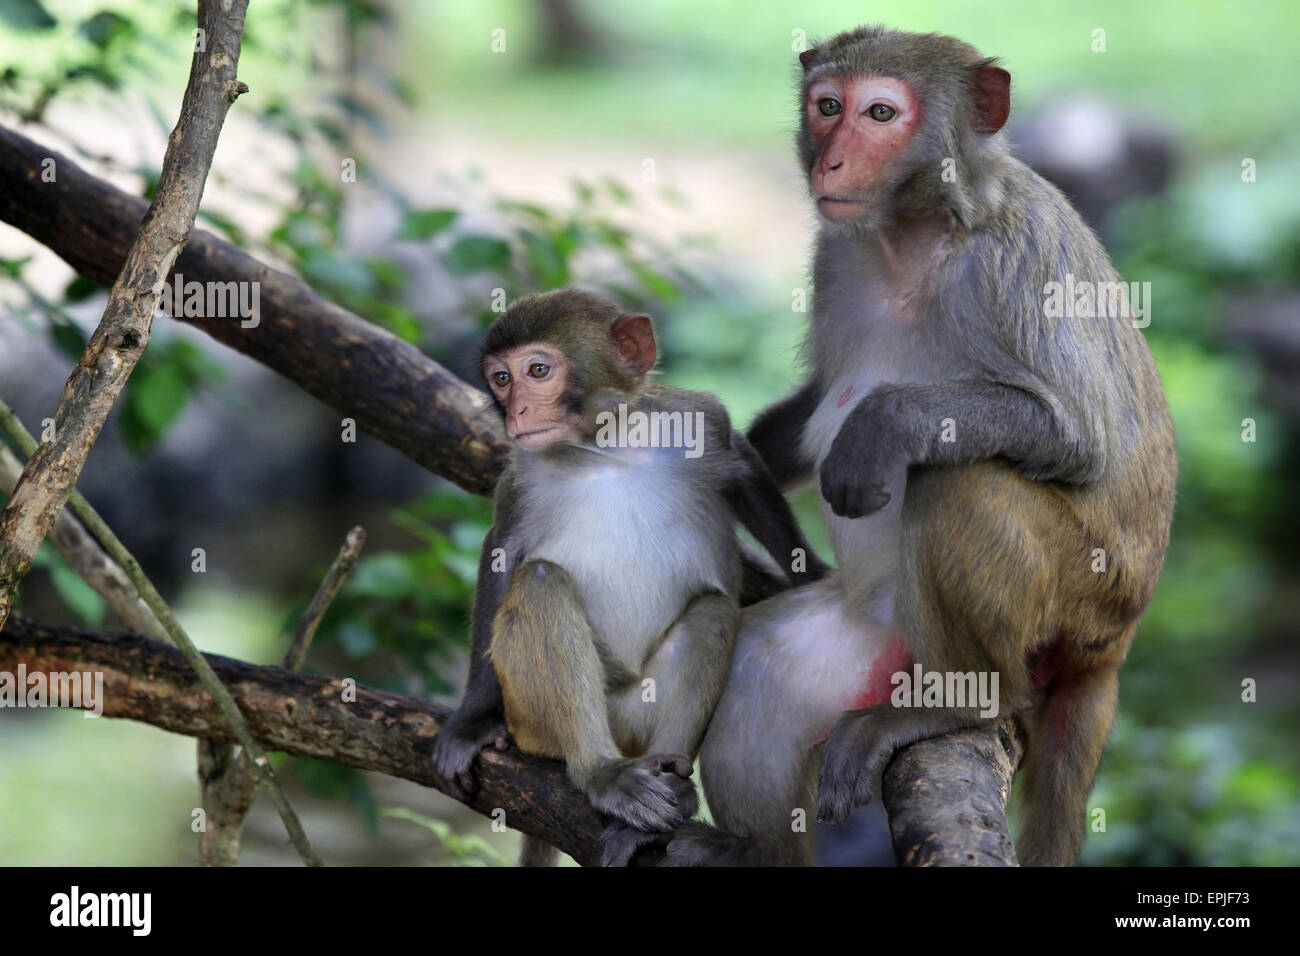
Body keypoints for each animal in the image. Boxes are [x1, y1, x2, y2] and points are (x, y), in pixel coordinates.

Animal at [429, 289, 829, 866]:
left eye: (537, 370)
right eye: (501, 379)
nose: (519, 410)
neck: (607, 448)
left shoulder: (696, 419)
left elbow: (745, 469)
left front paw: (813, 572)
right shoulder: (522, 476)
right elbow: (502, 551)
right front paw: (475, 719)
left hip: (639, 711)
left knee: (712, 610)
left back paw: (672, 784)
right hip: (537, 717)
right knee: (542, 581)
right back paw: (603, 776)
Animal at [665, 26, 1177, 866]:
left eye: (880, 113)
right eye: (828, 106)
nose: (832, 161)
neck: (913, 233)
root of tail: (1117, 640)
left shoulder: (1018, 262)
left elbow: (1079, 437)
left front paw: (882, 423)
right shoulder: (835, 255)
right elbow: (816, 400)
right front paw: (706, 448)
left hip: (1080, 596)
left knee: (962, 480)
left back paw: (967, 707)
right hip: (872, 645)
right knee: (757, 680)